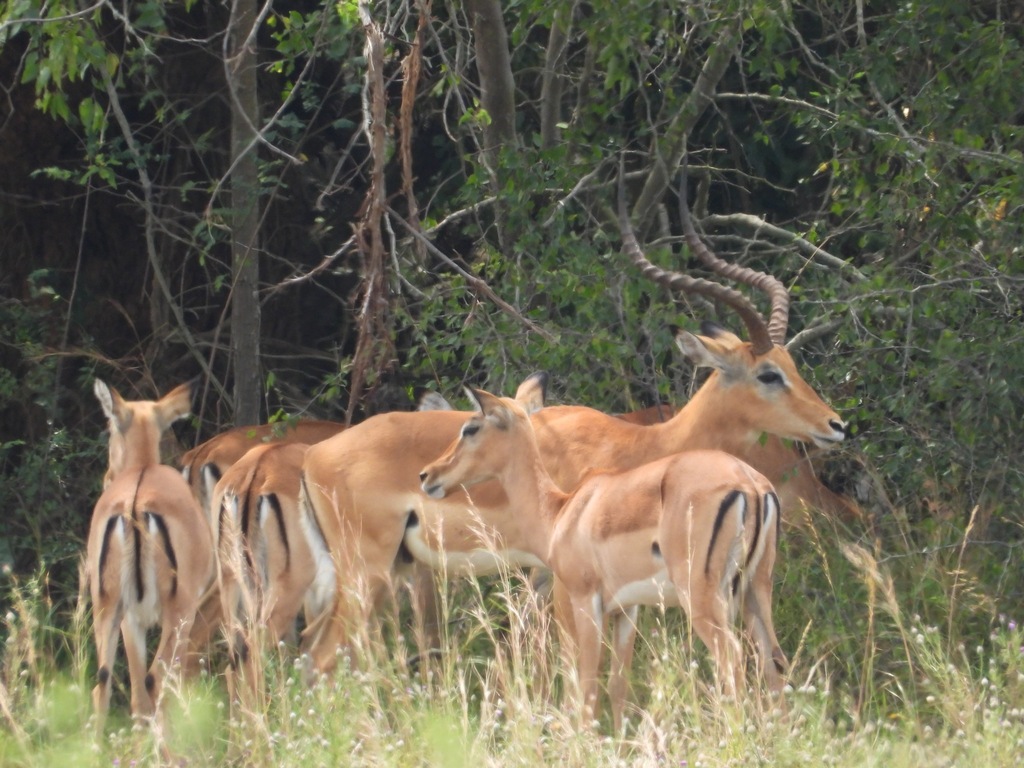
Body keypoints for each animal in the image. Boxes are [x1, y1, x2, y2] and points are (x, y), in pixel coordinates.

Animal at [87, 380, 213, 727]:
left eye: (109, 428)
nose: (105, 476)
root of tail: (134, 505)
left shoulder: (131, 619)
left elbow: (137, 700)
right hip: (178, 613)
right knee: (158, 679)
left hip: (106, 607)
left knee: (103, 684)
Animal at [419, 388, 786, 730]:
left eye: (471, 427)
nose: (427, 475)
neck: (561, 513)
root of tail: (749, 482)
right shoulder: (627, 610)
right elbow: (617, 686)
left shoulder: (586, 602)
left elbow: (587, 686)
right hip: (756, 589)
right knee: (773, 660)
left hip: (701, 597)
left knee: (734, 660)